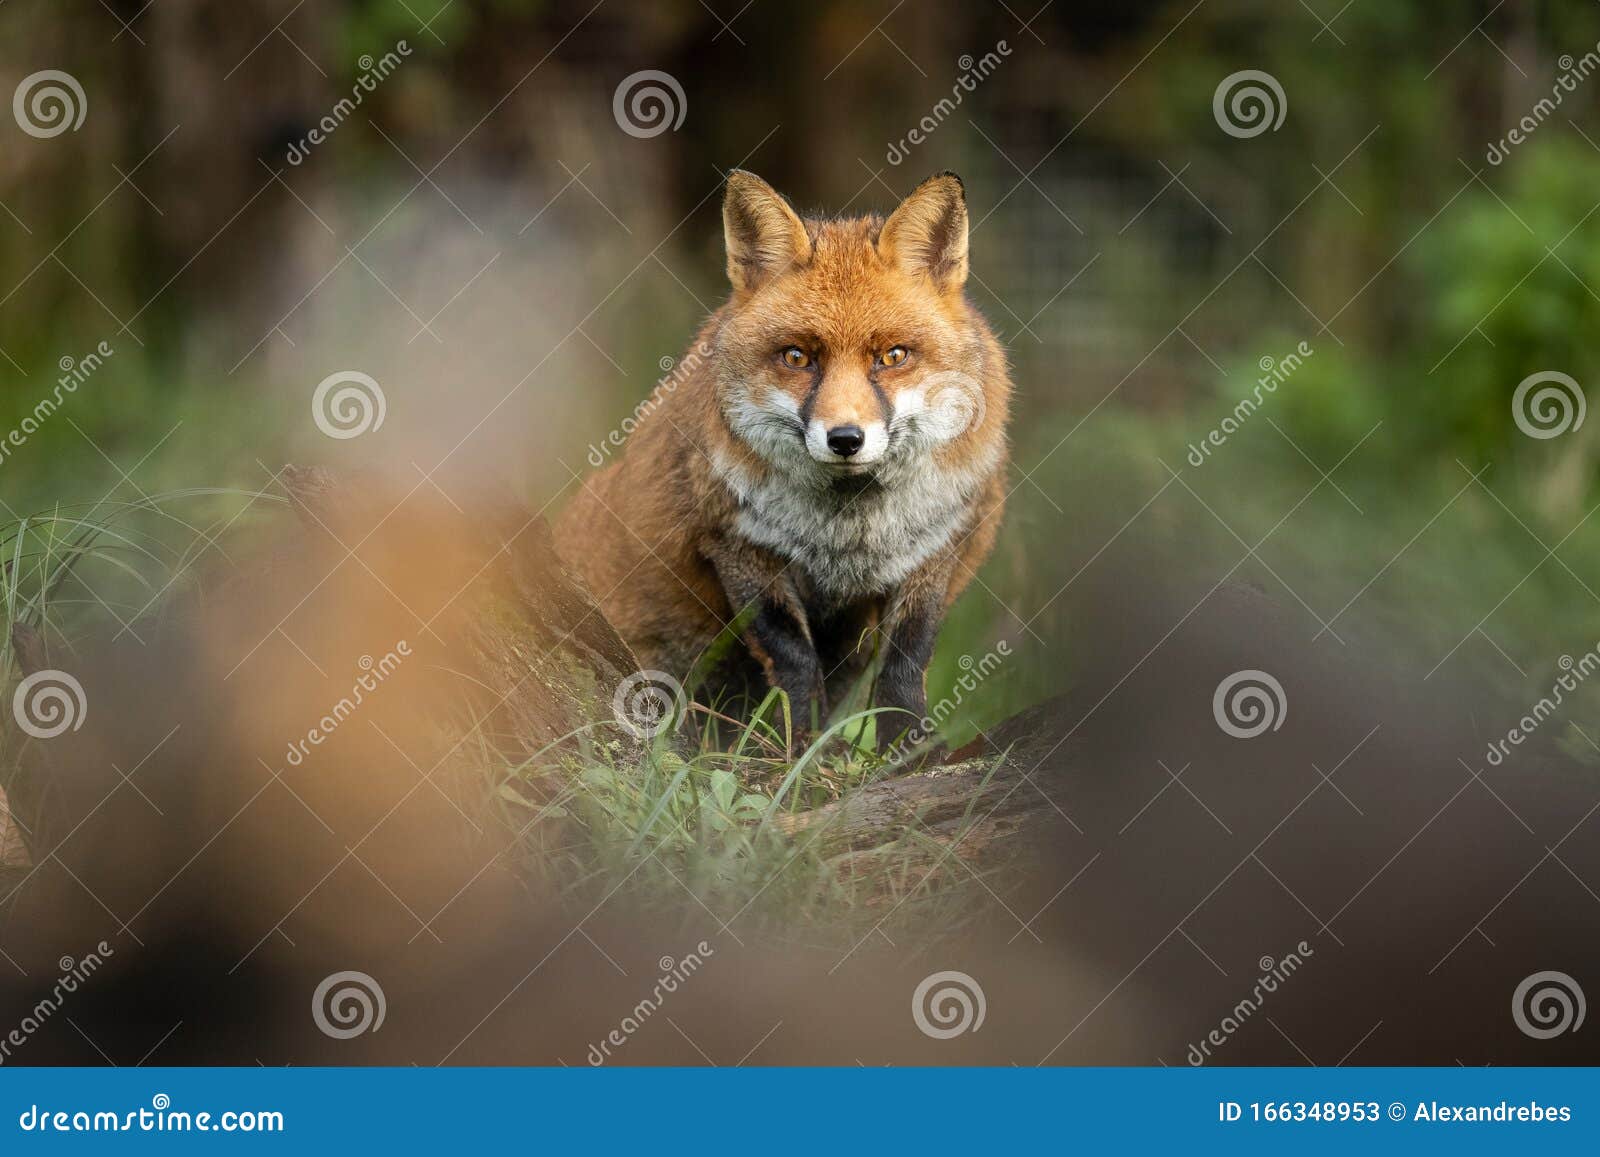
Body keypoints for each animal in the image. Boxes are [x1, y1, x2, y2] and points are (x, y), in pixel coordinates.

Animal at [553, 169, 1010, 748]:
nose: (845, 438)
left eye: (893, 356)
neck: (849, 533)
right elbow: (793, 659)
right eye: (797, 357)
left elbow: (908, 662)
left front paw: (908, 747)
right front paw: (801, 747)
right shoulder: (737, 545)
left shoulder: (935, 548)